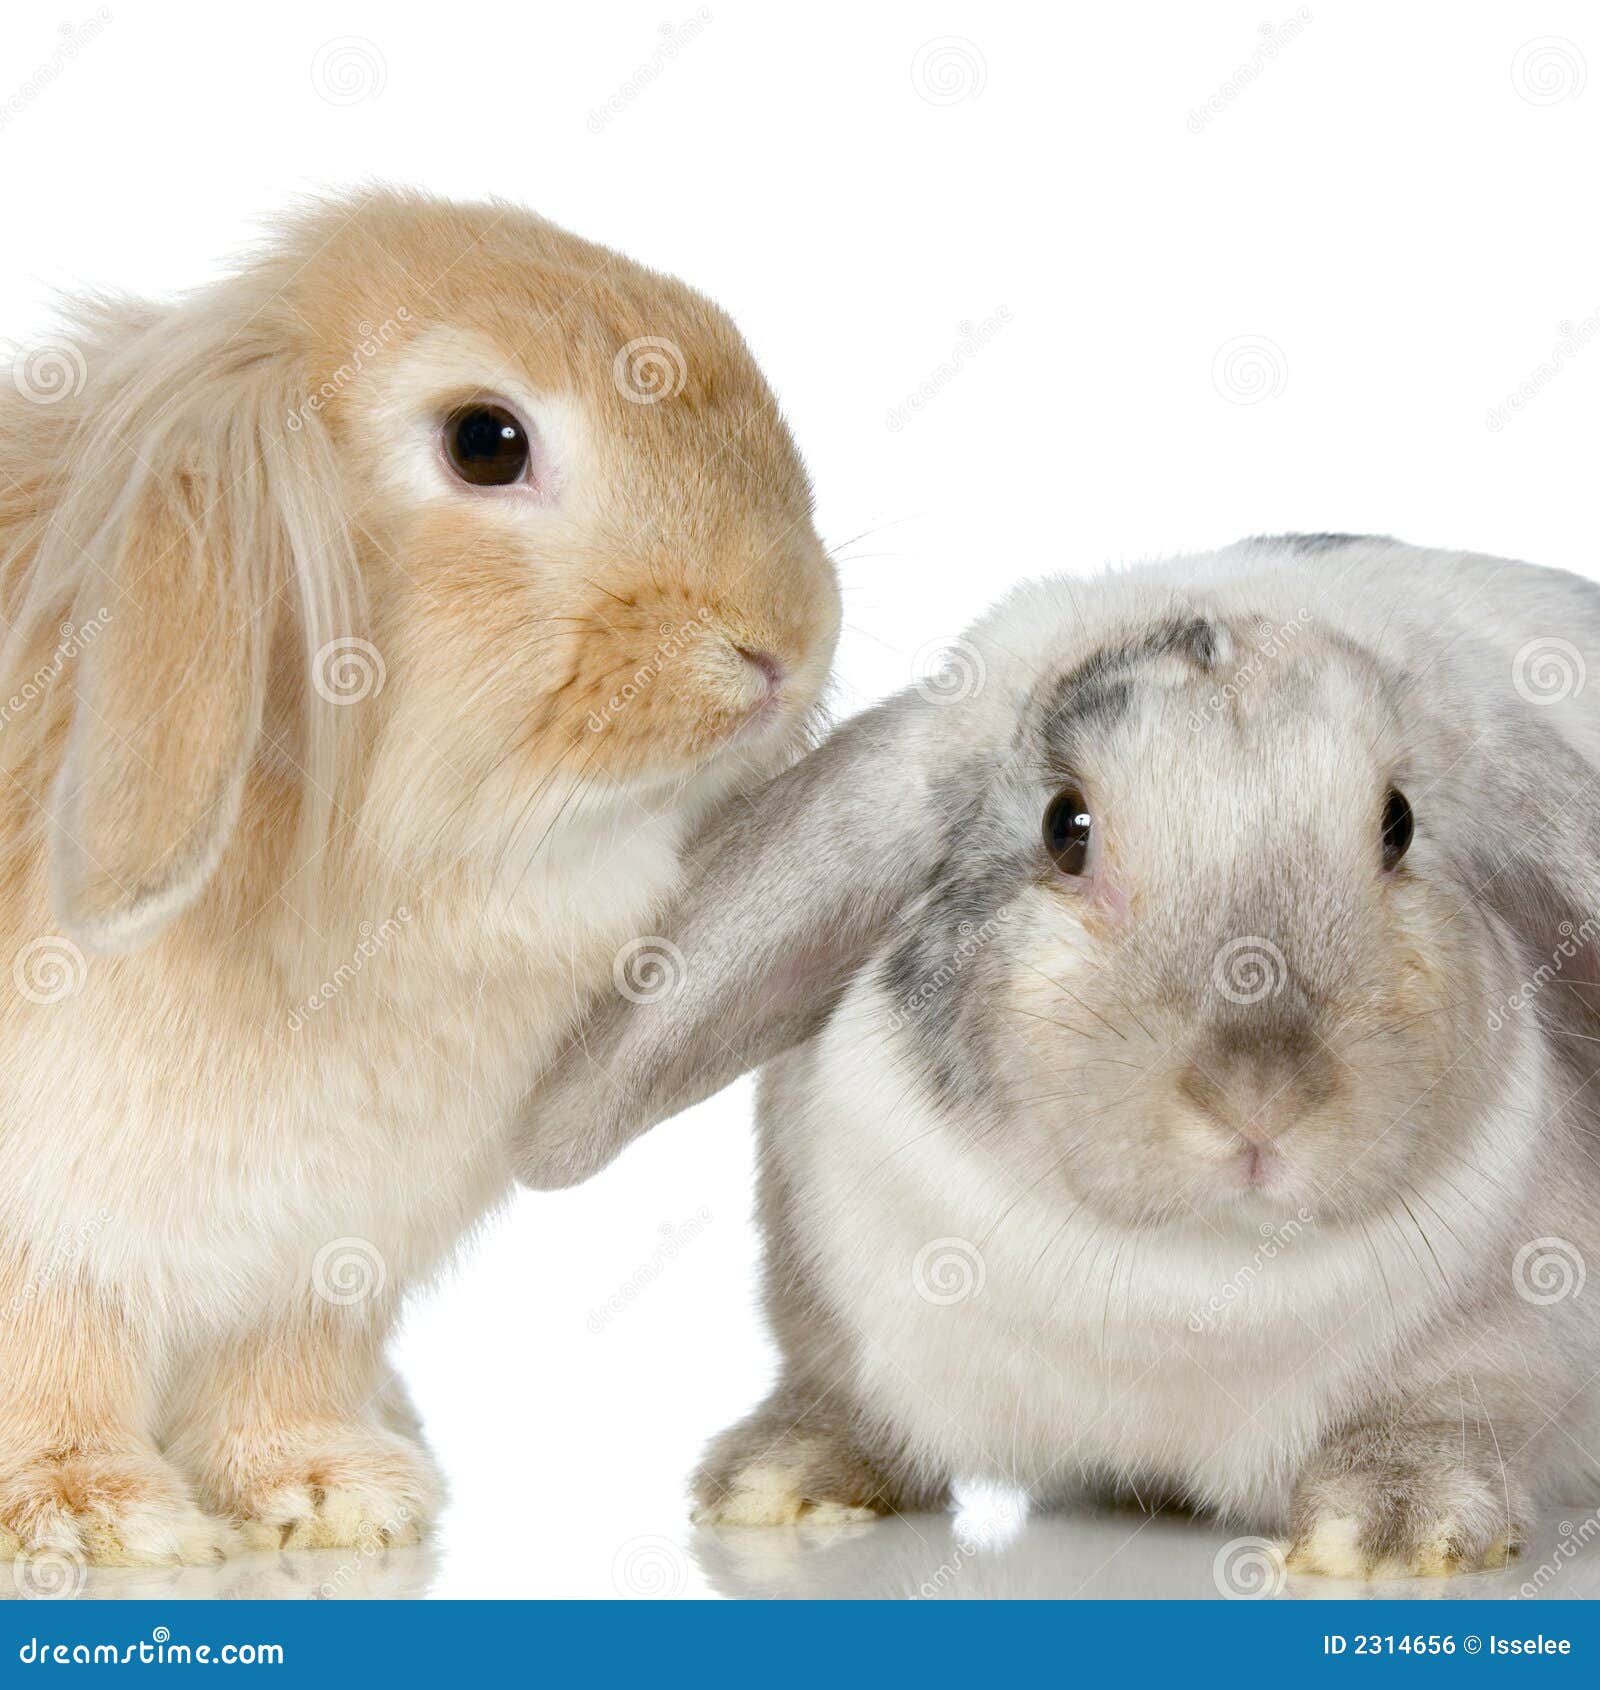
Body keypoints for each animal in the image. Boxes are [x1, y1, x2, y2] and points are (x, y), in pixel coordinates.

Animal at [0, 188, 840, 1564]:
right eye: (485, 443)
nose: (784, 637)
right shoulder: (52, 1233)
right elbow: (51, 1365)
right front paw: (89, 1518)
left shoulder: (312, 1263)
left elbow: (279, 1377)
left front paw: (337, 1494)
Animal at [516, 533, 1600, 1580]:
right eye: (1065, 827)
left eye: (1398, 825)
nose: (1257, 1095)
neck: (1187, 1279)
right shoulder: (830, 1303)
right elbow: (843, 1399)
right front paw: (774, 1482)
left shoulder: (1495, 1357)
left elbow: (1438, 1419)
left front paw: (1390, 1533)